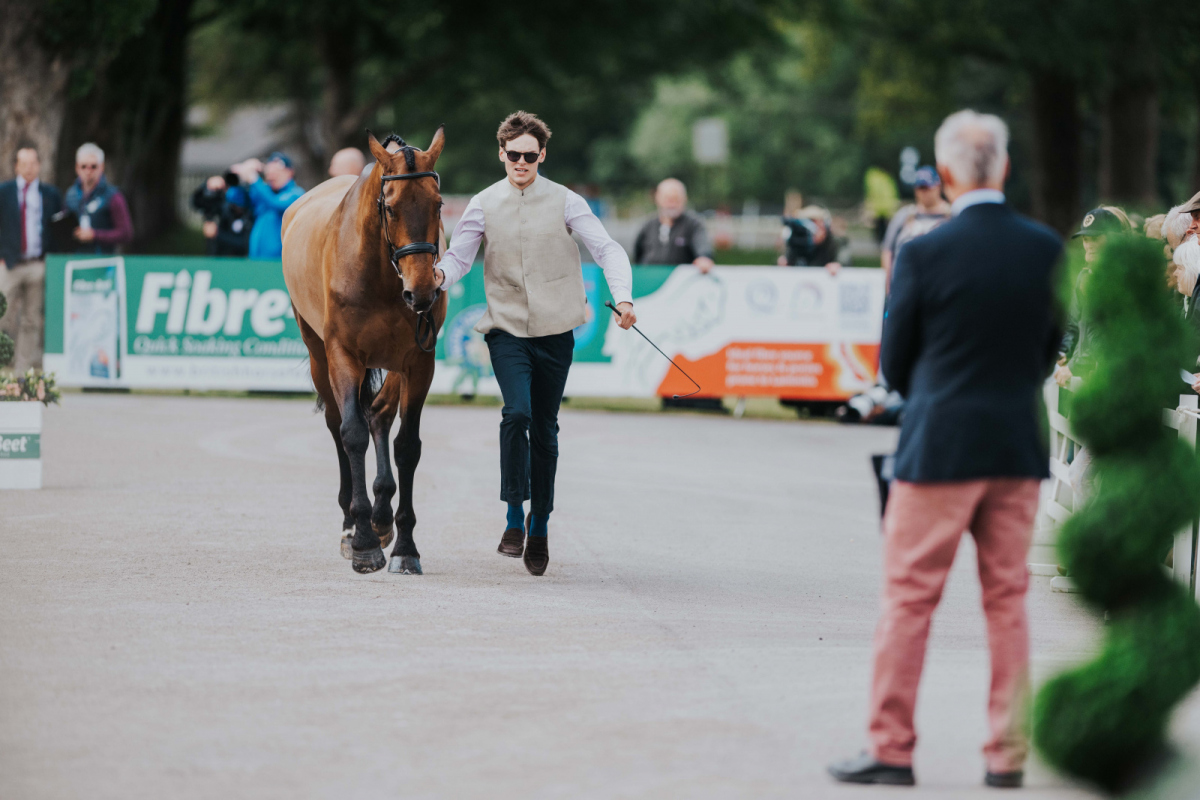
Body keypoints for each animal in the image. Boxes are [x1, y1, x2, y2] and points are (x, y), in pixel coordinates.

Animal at [281, 130, 447, 575]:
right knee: (340, 423)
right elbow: (351, 433)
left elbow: (406, 445)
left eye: (439, 204)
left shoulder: (418, 362)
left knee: (379, 414)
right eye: (390, 207)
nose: (422, 291)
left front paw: (404, 544)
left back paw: (382, 513)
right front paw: (364, 543)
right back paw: (352, 522)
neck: (382, 275)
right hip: (319, 355)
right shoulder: (343, 356)